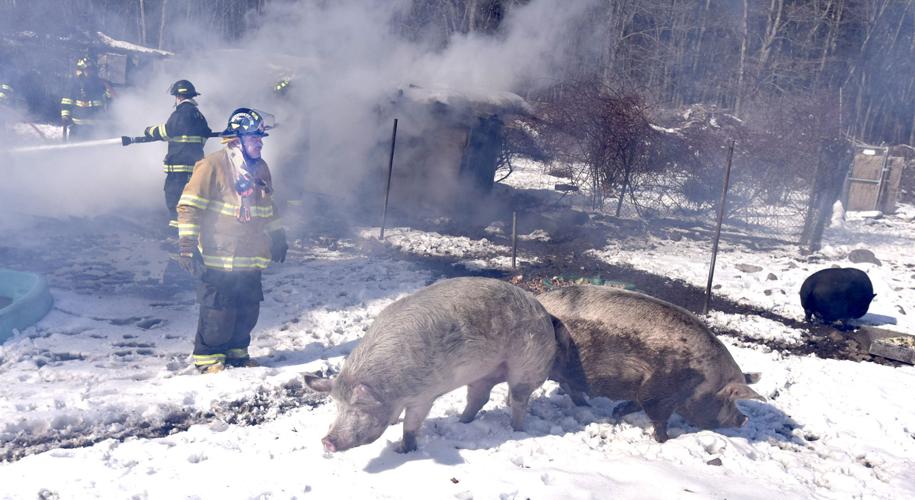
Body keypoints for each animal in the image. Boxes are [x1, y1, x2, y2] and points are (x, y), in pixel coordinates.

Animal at [304, 277, 558, 453]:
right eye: (337, 407)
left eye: (357, 408)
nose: (326, 441)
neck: (392, 390)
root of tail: (544, 313)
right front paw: (394, 425)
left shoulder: (423, 396)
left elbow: (411, 425)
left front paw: (403, 450)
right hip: (482, 374)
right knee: (479, 398)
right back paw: (460, 421)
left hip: (527, 366)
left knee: (518, 400)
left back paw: (515, 430)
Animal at [538, 285, 764, 443]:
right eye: (728, 399)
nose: (744, 419)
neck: (701, 380)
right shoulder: (657, 389)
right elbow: (657, 416)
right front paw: (665, 440)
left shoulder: (645, 389)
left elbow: (635, 404)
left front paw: (615, 413)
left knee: (569, 386)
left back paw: (587, 405)